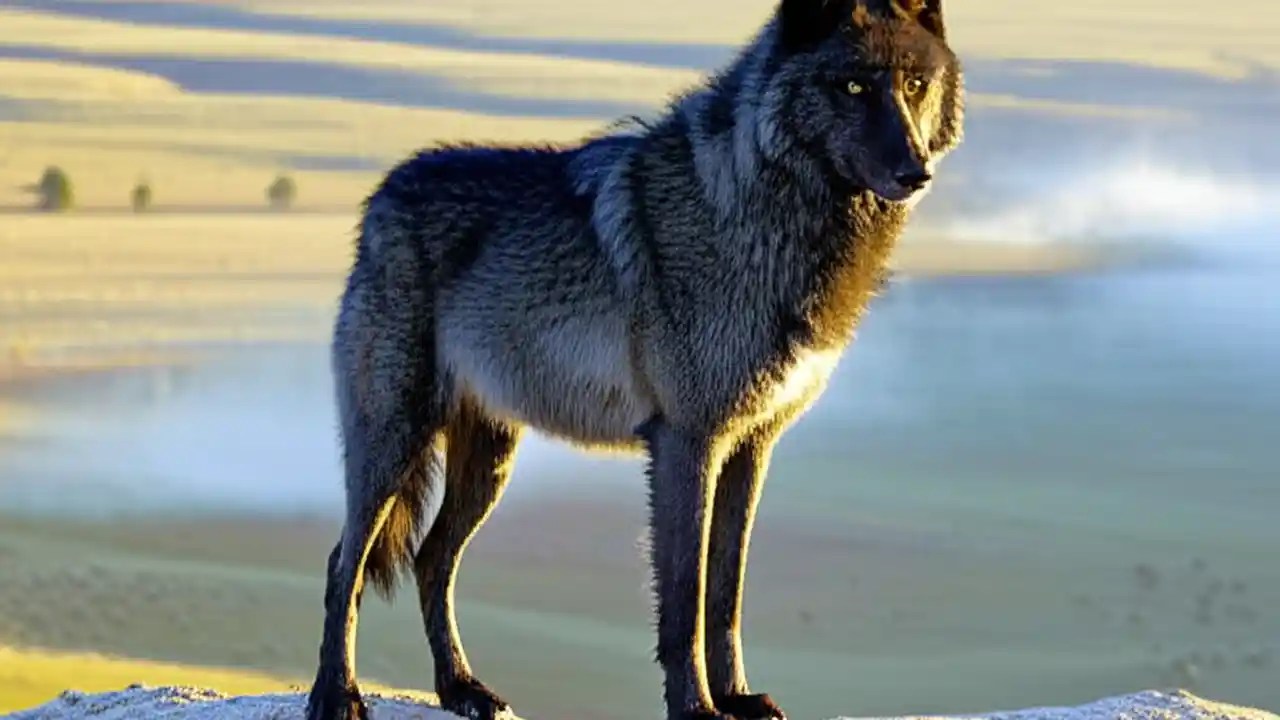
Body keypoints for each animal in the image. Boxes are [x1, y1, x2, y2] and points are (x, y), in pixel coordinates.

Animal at [306, 1, 963, 718]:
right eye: (852, 86)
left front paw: (735, 697)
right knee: (344, 564)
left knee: (431, 561)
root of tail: (383, 196)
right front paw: (696, 706)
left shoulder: (752, 446)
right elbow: (683, 600)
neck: (757, 211)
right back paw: (336, 695)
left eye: (915, 85)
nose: (916, 171)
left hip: (488, 464)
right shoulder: (686, 442)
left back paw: (461, 688)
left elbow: (725, 593)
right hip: (392, 444)